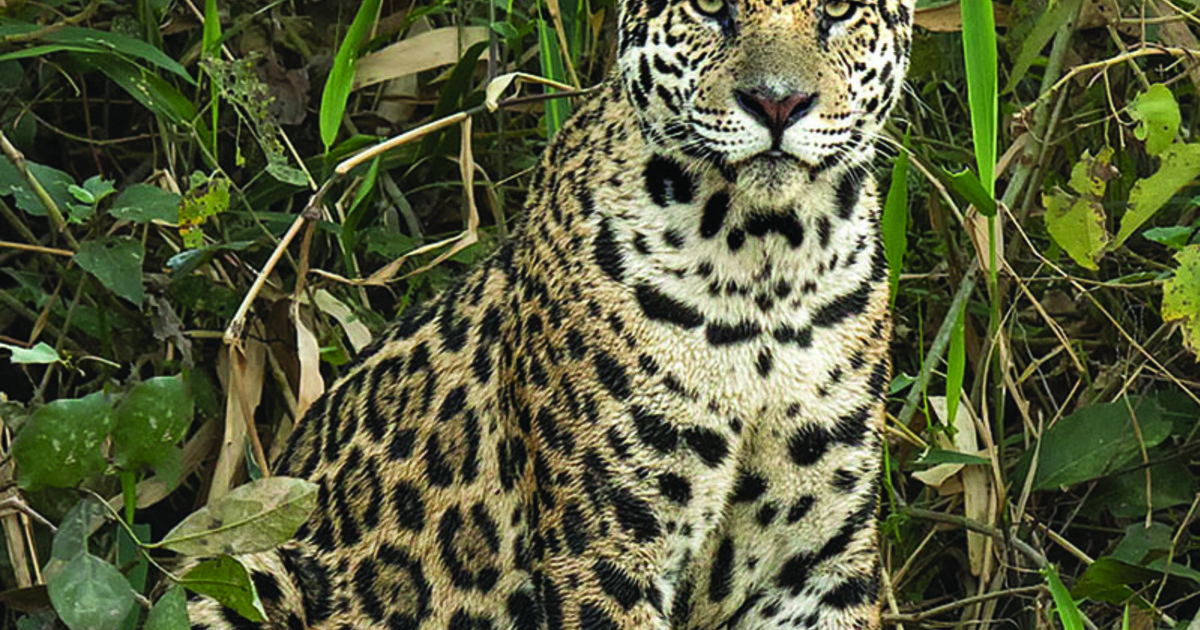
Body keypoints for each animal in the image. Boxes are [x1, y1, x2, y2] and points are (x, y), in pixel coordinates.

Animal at [187, 0, 912, 627]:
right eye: (711, 8)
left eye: (839, 11)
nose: (777, 103)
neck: (766, 264)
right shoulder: (606, 545)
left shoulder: (813, 567)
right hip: (239, 568)